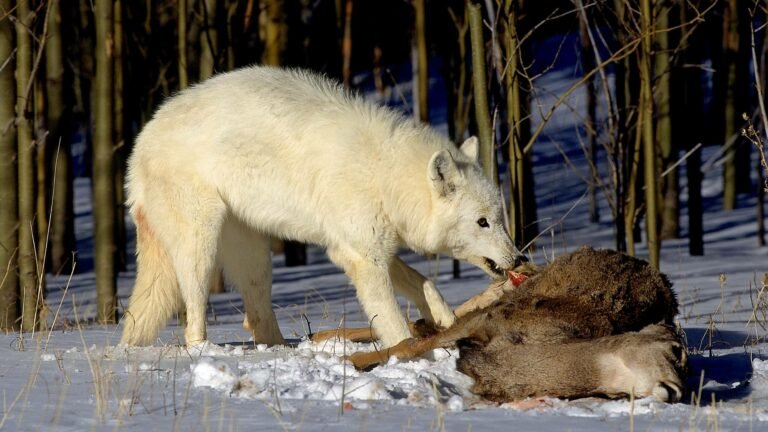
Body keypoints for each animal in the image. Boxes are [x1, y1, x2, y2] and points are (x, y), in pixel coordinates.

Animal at [120, 66, 525, 348]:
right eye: (483, 222)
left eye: (499, 218)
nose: (519, 258)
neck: (383, 173)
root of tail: (140, 144)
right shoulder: (364, 257)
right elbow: (393, 321)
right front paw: (407, 352)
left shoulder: (361, 247)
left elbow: (424, 282)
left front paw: (443, 318)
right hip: (201, 248)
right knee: (194, 316)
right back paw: (204, 349)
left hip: (255, 258)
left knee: (258, 318)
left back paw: (281, 350)